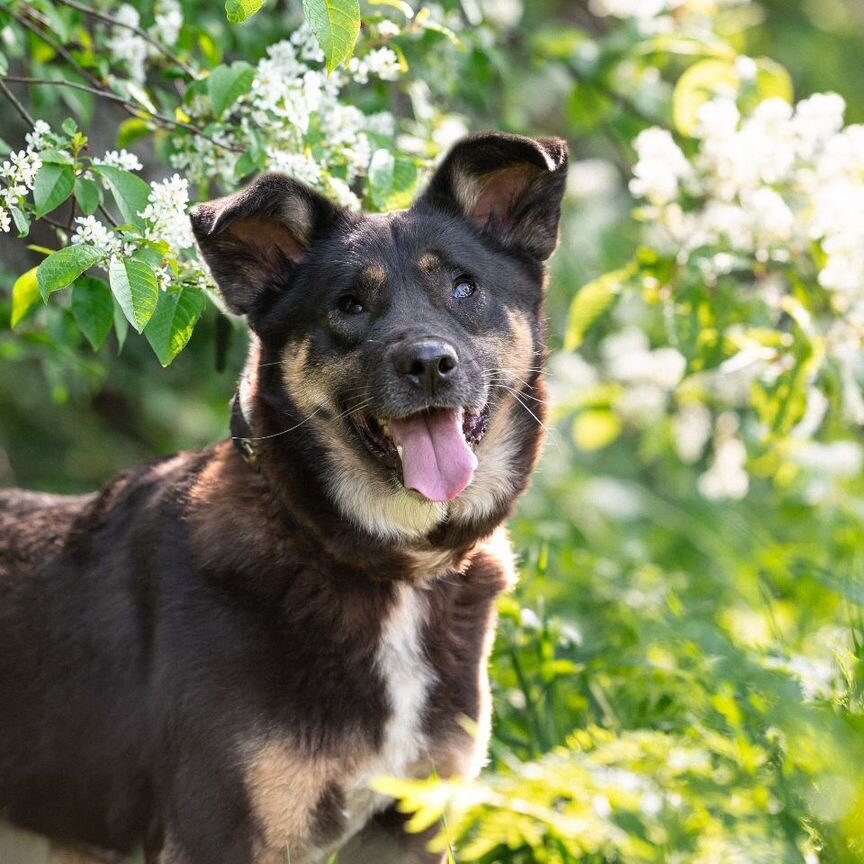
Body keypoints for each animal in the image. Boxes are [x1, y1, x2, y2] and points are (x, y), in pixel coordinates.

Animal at [0, 130, 568, 864]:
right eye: (350, 305)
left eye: (464, 288)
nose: (429, 365)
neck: (386, 570)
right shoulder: (221, 831)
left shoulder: (412, 826)